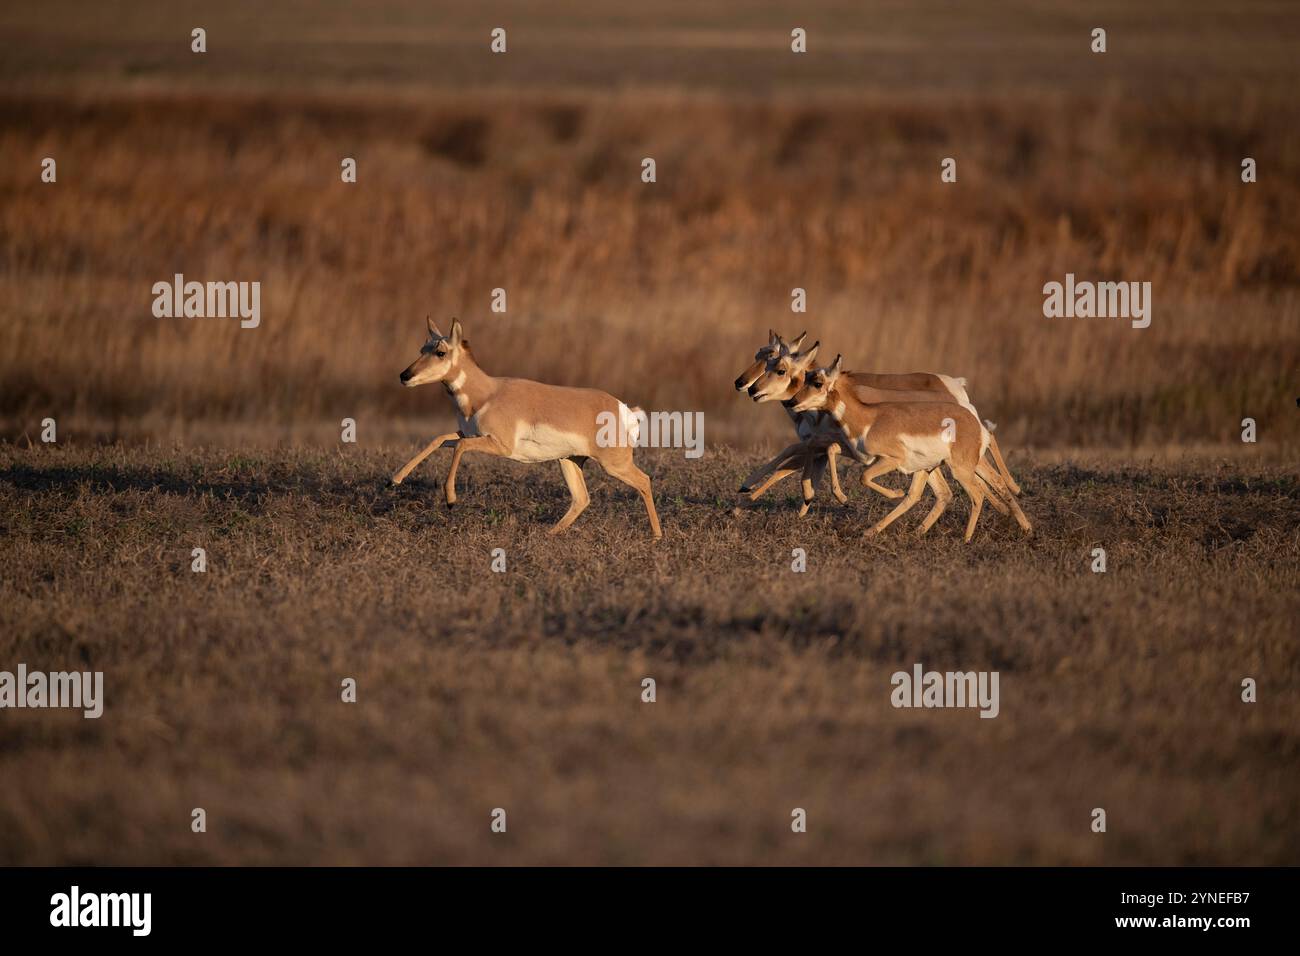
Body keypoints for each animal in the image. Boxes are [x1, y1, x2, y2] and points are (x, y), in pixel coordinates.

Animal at [392, 318, 662, 538]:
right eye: (422, 349)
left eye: (440, 352)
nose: (404, 376)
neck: (487, 393)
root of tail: (622, 408)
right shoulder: (471, 433)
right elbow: (440, 439)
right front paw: (395, 479)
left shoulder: (499, 445)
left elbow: (460, 446)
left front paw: (450, 500)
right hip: (569, 460)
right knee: (581, 498)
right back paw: (548, 534)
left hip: (614, 464)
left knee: (644, 481)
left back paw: (656, 537)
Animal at [790, 355, 1032, 541]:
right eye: (806, 378)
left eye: (818, 382)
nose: (792, 402)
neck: (869, 418)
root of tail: (973, 420)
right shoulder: (864, 455)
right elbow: (832, 450)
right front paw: (841, 498)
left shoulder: (891, 460)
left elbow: (864, 477)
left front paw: (894, 492)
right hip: (931, 468)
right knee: (937, 493)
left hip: (959, 469)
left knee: (978, 493)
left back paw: (967, 538)